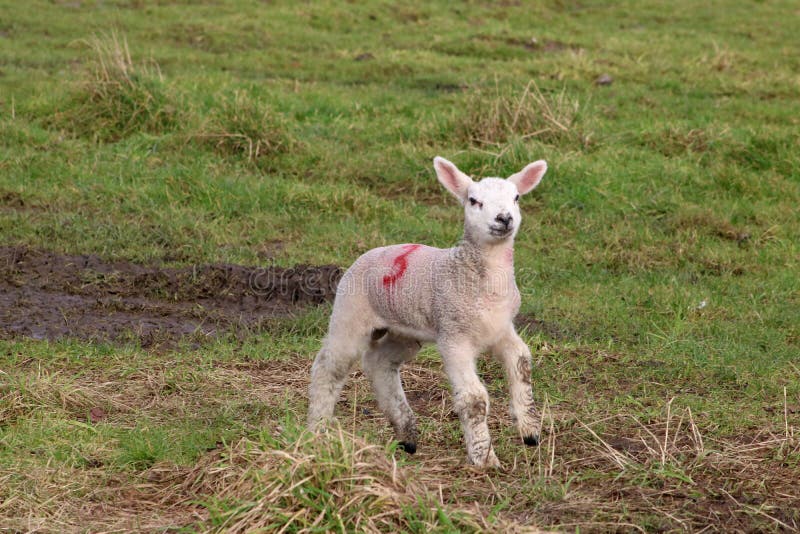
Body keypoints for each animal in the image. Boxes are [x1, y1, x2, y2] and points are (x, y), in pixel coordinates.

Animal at [308, 156, 548, 468]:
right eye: (474, 201)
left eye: (516, 197)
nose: (504, 218)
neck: (474, 274)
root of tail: (371, 252)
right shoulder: (453, 336)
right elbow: (474, 398)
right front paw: (484, 457)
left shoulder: (501, 328)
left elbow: (522, 364)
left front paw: (530, 430)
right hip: (350, 312)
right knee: (329, 367)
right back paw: (317, 430)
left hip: (404, 330)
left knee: (379, 362)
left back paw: (406, 433)